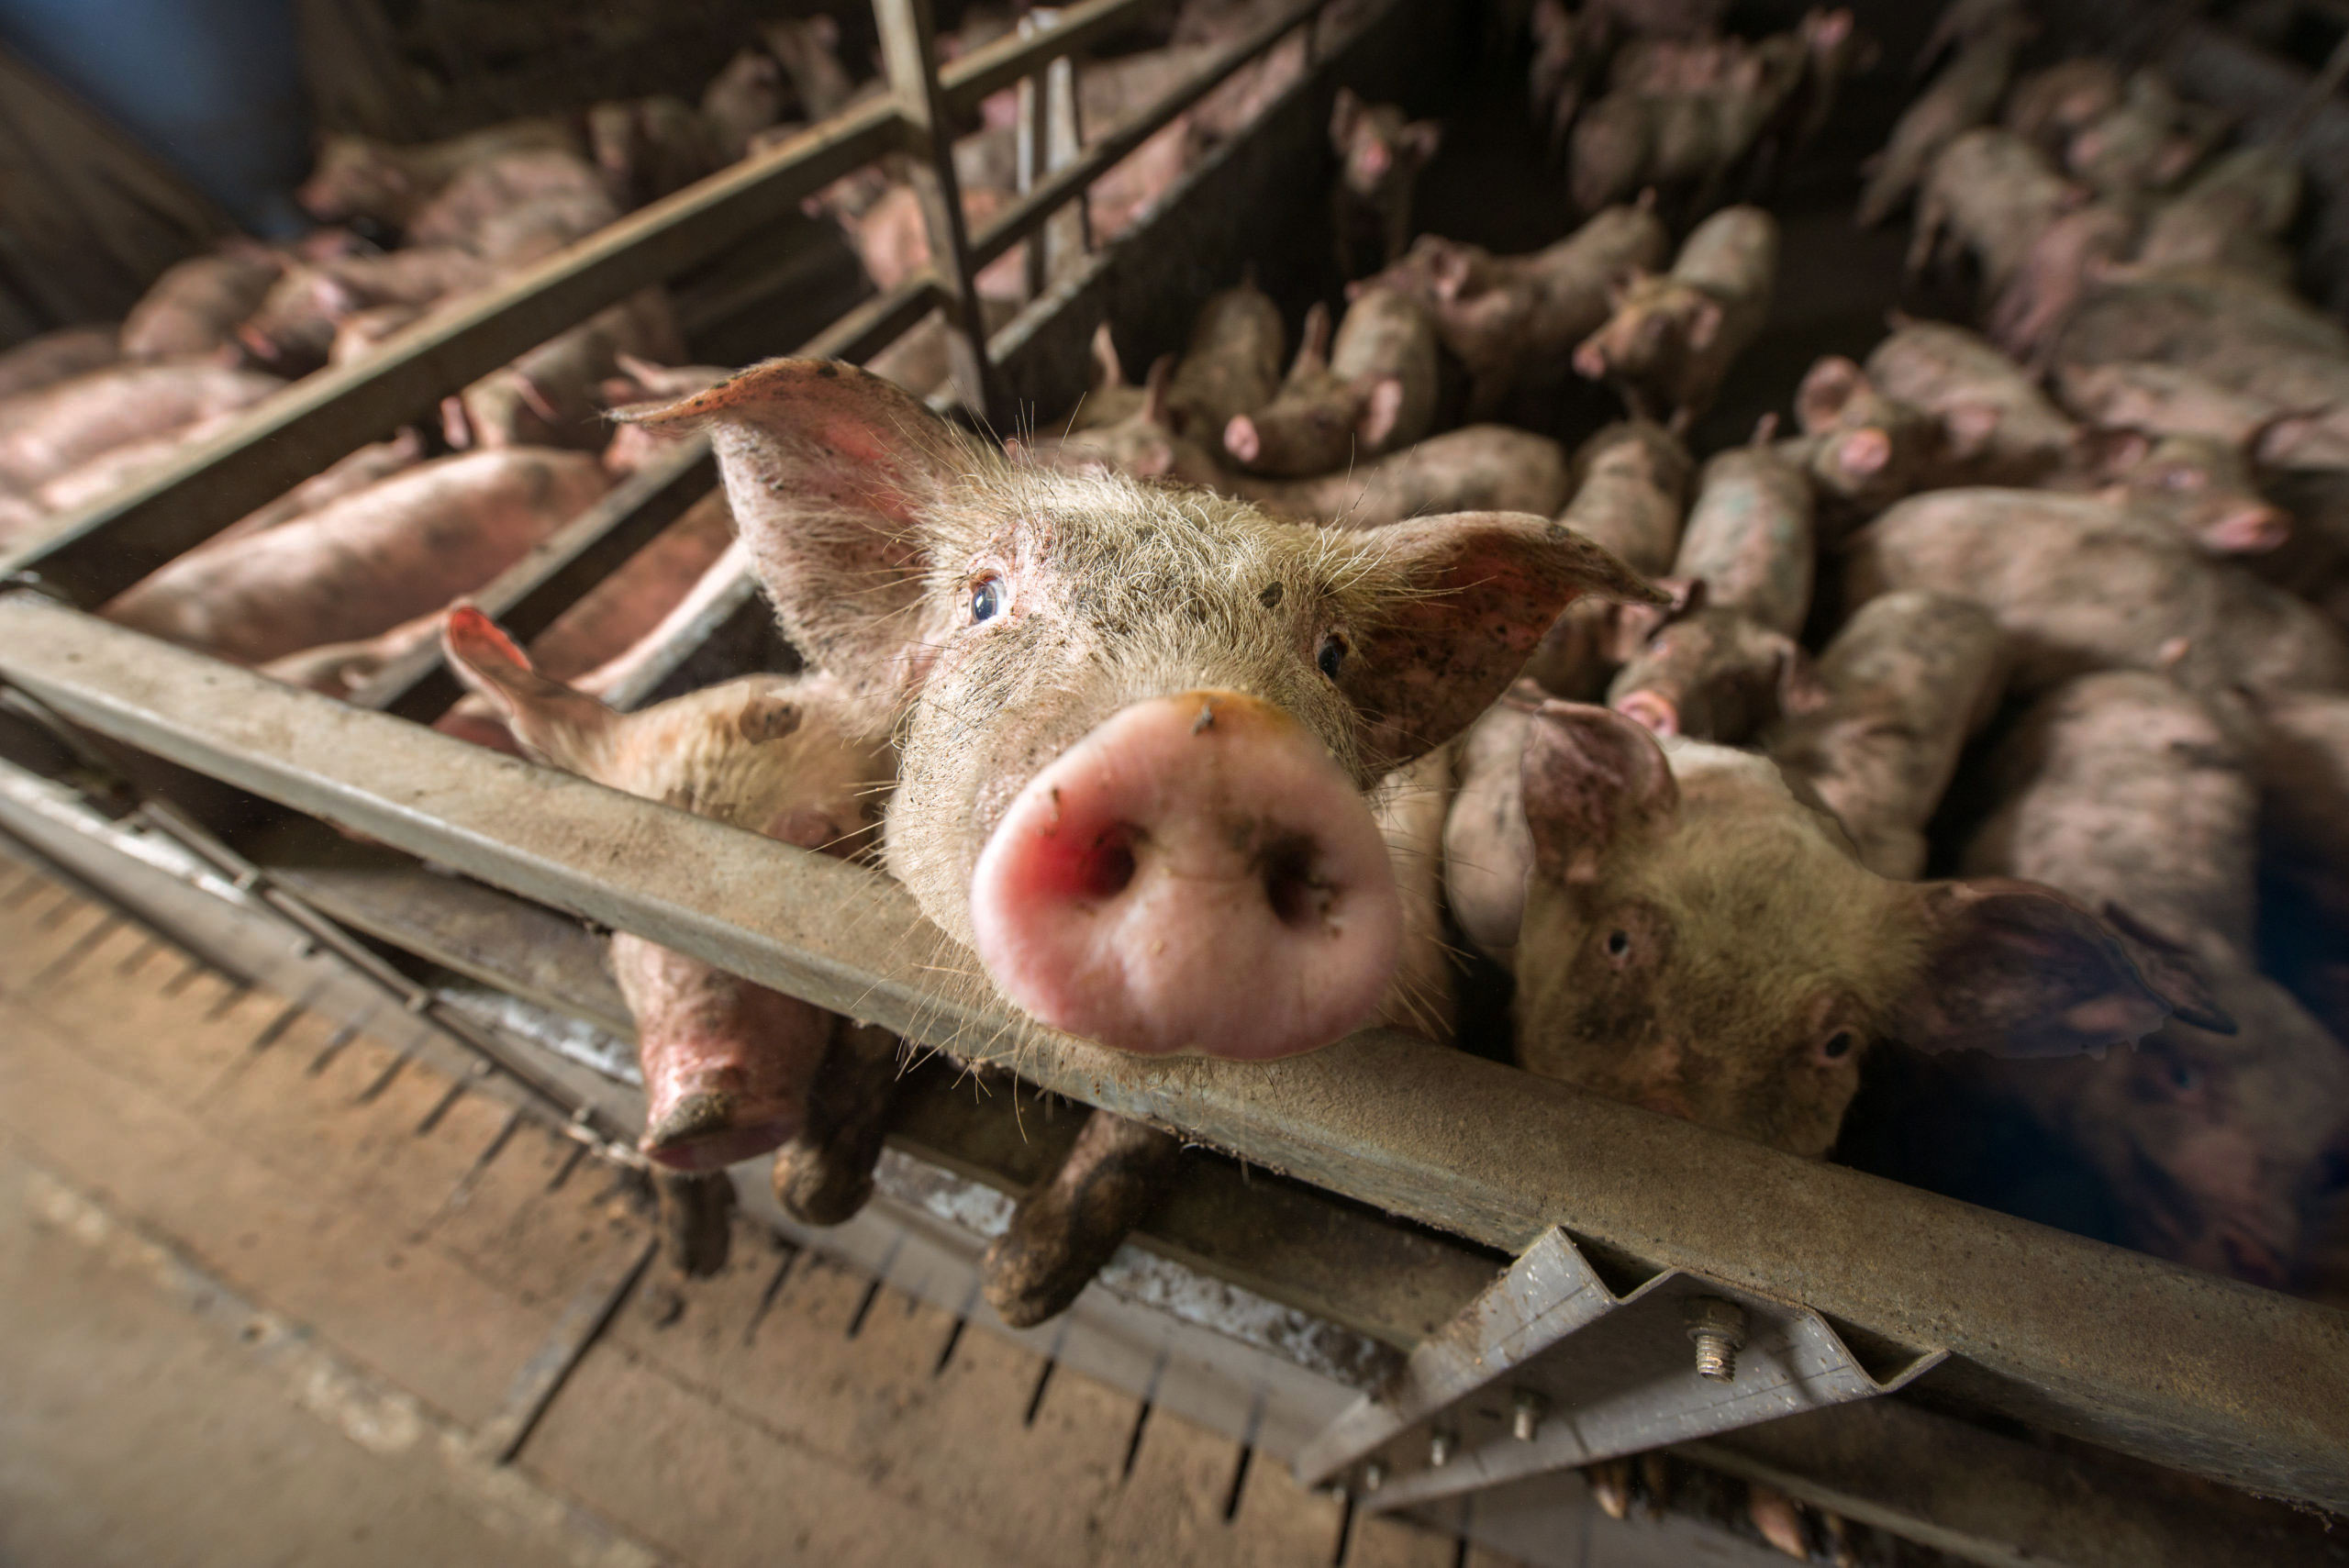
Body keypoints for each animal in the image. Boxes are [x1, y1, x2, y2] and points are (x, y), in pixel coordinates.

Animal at [1329, 89, 1442, 278]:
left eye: (1395, 149)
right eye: (1364, 141)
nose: (1380, 150)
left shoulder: (1399, 219)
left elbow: (1393, 252)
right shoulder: (1341, 216)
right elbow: (1343, 250)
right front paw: (1349, 276)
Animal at [1360, 202, 1670, 417]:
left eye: (1402, 277)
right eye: (1397, 263)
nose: (1355, 286)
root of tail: (1642, 209)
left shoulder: (1500, 365)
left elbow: (1480, 408)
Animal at [1573, 205, 1778, 431]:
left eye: (1660, 325)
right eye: (1621, 309)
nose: (1589, 351)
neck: (1662, 373)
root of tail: (1747, 208)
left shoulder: (1703, 390)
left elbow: (1682, 420)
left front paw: (1672, 434)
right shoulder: (1637, 392)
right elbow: (1642, 415)